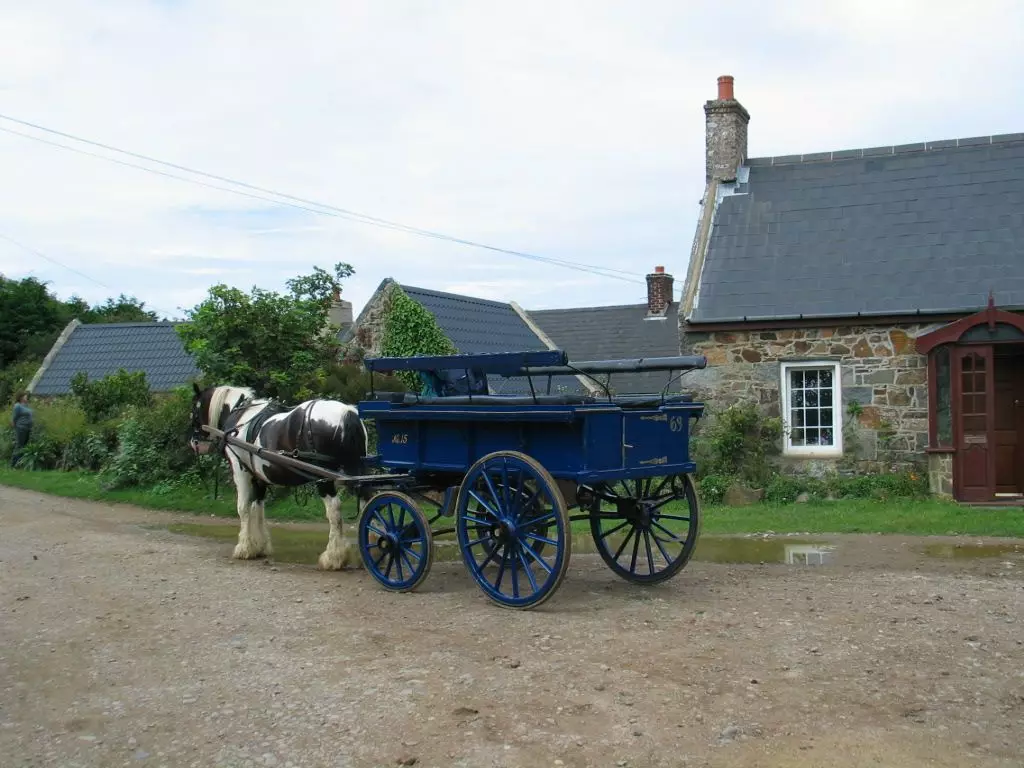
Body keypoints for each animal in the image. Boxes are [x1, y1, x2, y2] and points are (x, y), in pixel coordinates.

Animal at [190, 385, 370, 573]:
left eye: (194, 411)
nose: (194, 443)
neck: (240, 416)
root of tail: (347, 412)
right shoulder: (259, 478)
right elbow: (258, 508)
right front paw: (260, 546)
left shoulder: (241, 472)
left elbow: (243, 508)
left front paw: (245, 548)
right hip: (357, 470)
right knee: (366, 500)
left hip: (324, 478)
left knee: (334, 510)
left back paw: (334, 557)